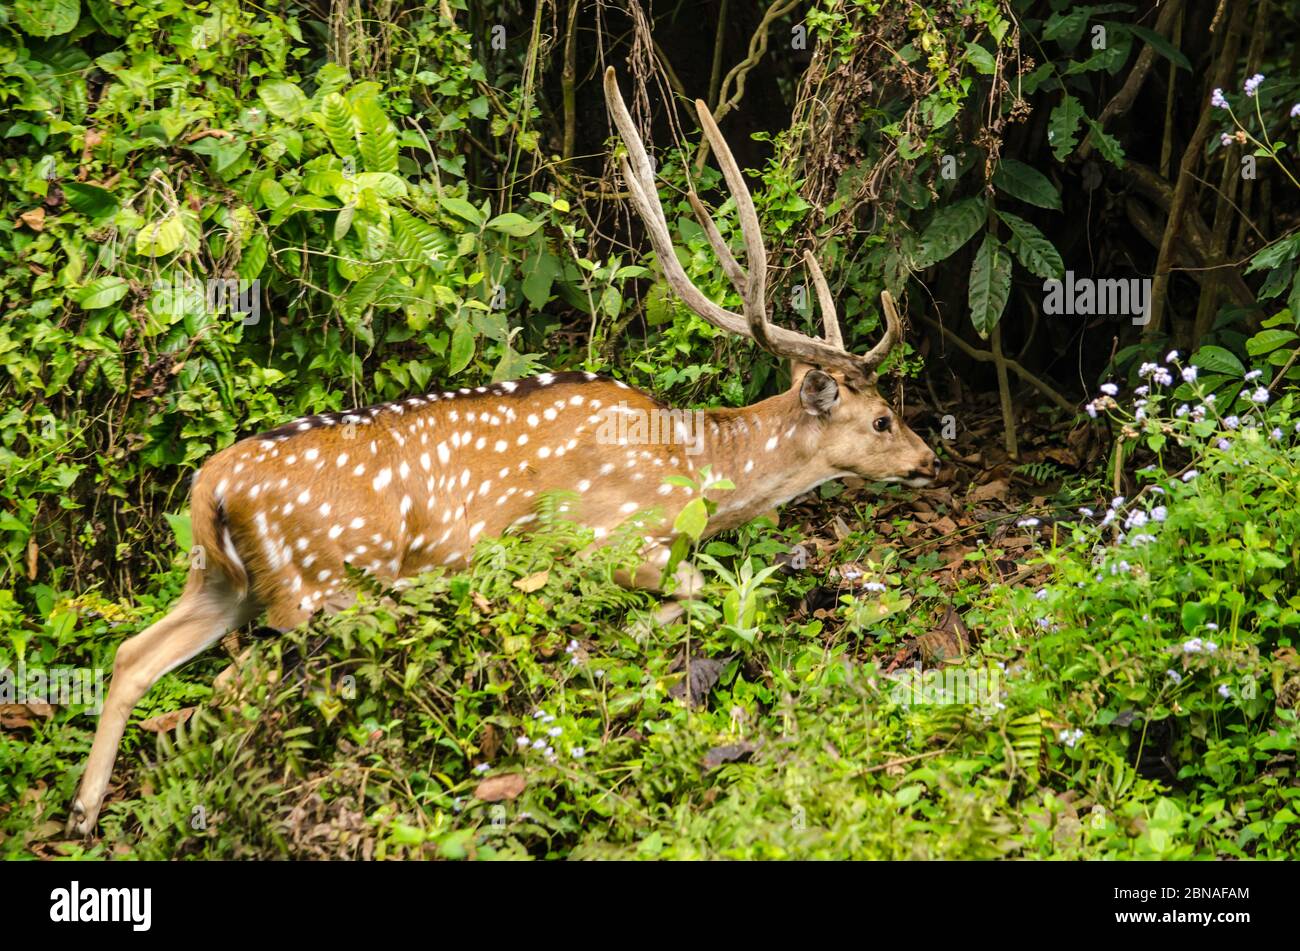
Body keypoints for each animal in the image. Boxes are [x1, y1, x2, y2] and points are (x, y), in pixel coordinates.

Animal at [66, 67, 938, 835]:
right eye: (883, 418)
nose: (929, 457)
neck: (697, 468)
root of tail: (209, 485)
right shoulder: (605, 537)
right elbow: (703, 592)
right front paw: (623, 645)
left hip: (221, 581)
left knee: (132, 653)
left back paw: (82, 812)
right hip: (320, 587)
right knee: (236, 685)